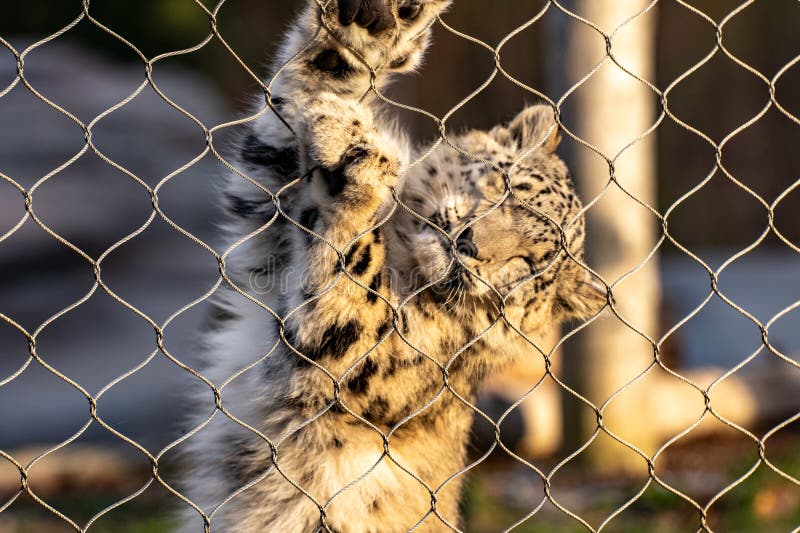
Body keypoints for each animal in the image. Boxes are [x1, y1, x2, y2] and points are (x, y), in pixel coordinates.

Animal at [176, 1, 606, 531]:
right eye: (506, 188)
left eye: (528, 264)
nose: (470, 243)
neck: (403, 255)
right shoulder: (266, 228)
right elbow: (286, 114)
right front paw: (372, 32)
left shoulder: (363, 360)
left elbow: (352, 289)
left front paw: (363, 169)